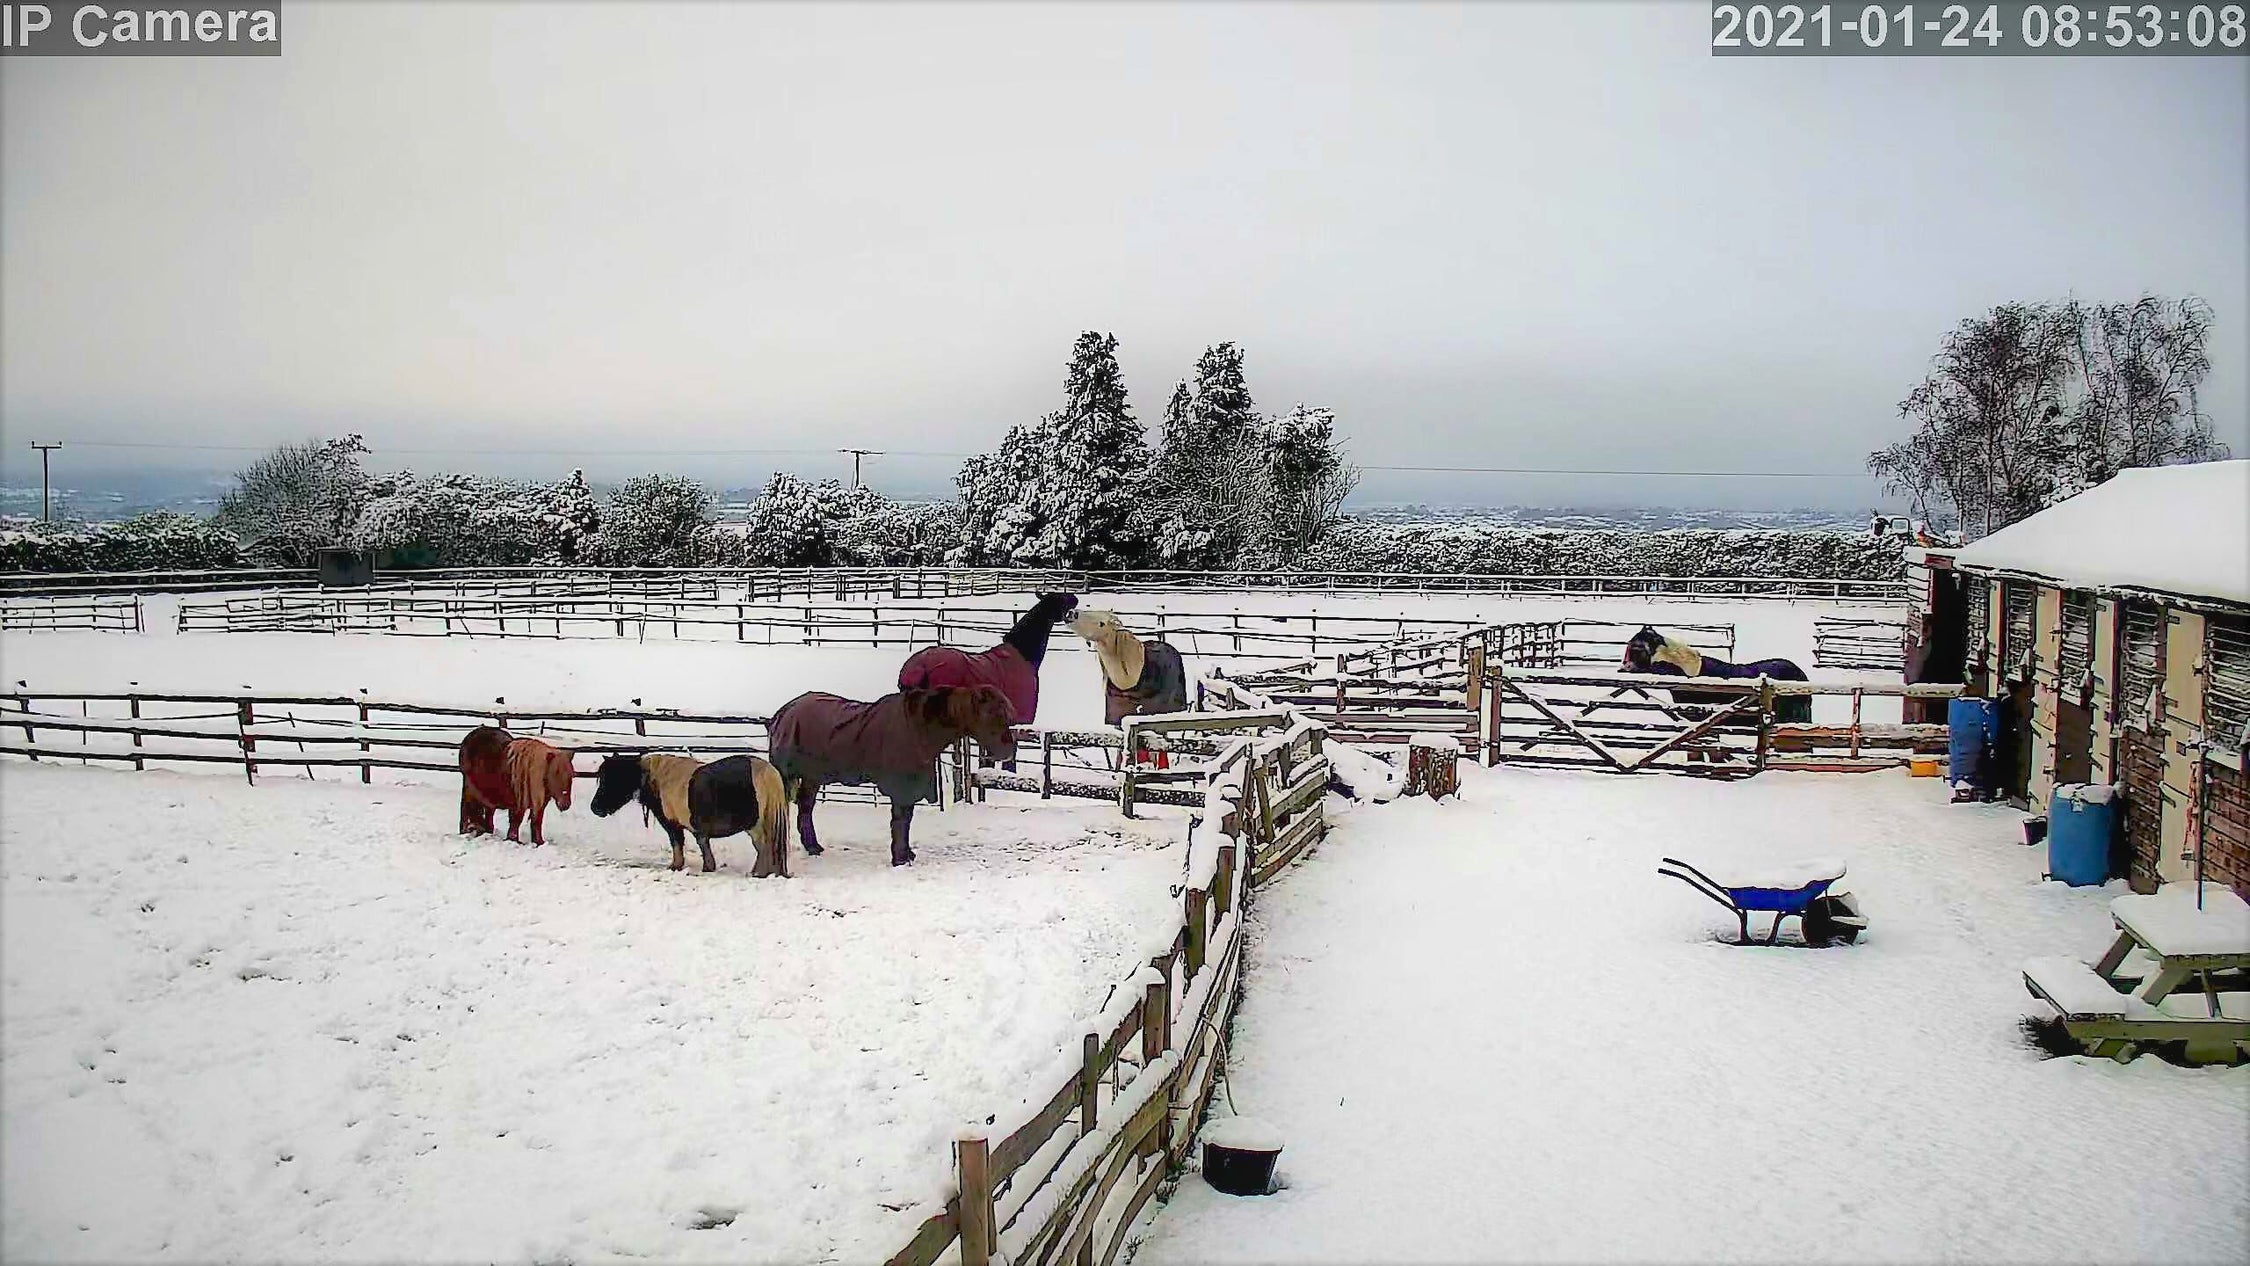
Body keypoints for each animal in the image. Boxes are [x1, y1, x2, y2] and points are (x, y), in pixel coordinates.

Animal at [588, 752, 793, 877]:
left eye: (614, 777)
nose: (595, 808)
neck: (656, 779)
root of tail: (766, 770)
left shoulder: (672, 824)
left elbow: (677, 843)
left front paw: (676, 866)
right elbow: (702, 843)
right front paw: (708, 867)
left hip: (754, 826)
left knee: (763, 846)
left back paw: (758, 873)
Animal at [767, 684, 1017, 867]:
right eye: (991, 714)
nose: (1008, 751)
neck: (920, 727)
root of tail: (783, 713)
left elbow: (906, 820)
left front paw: (906, 854)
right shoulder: (901, 787)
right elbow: (900, 822)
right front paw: (900, 858)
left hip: (813, 776)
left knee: (805, 808)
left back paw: (813, 847)